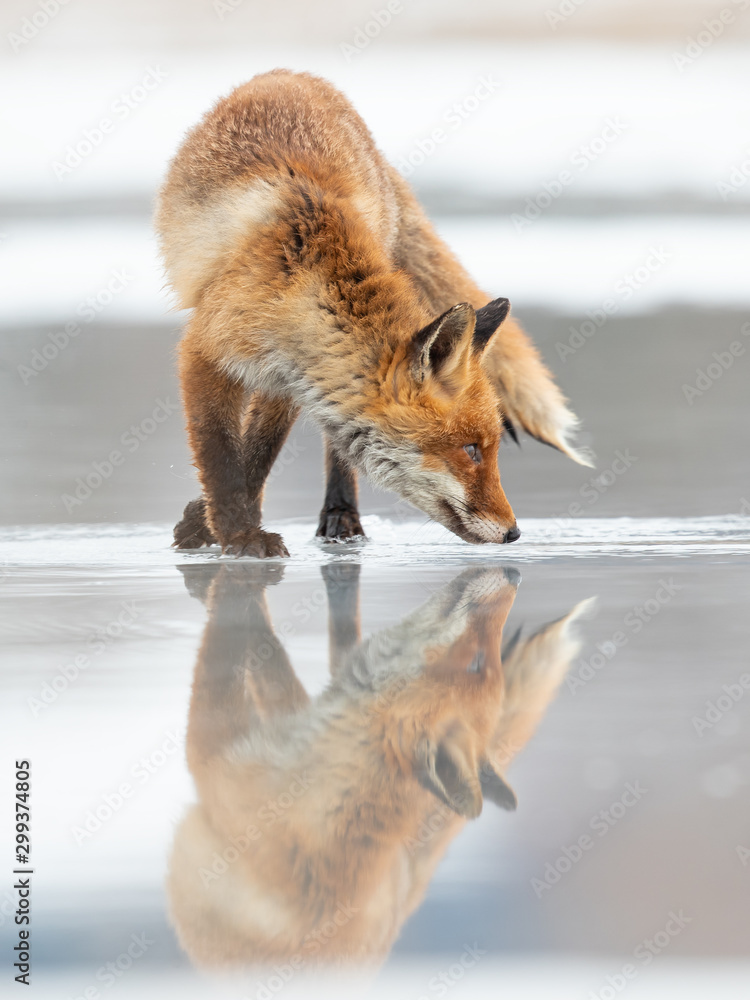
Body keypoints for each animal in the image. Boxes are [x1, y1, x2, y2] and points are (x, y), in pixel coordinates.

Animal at [156, 70, 592, 557]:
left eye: (490, 448)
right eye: (471, 450)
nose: (514, 532)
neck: (302, 281)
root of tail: (294, 74)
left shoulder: (286, 380)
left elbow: (257, 454)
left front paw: (210, 524)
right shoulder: (210, 354)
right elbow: (222, 456)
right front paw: (236, 533)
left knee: (336, 449)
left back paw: (341, 516)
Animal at [167, 561, 593, 967]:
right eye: (477, 665)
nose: (515, 573)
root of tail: (401, 909)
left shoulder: (212, 755)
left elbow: (230, 622)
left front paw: (236, 569)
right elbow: (266, 650)